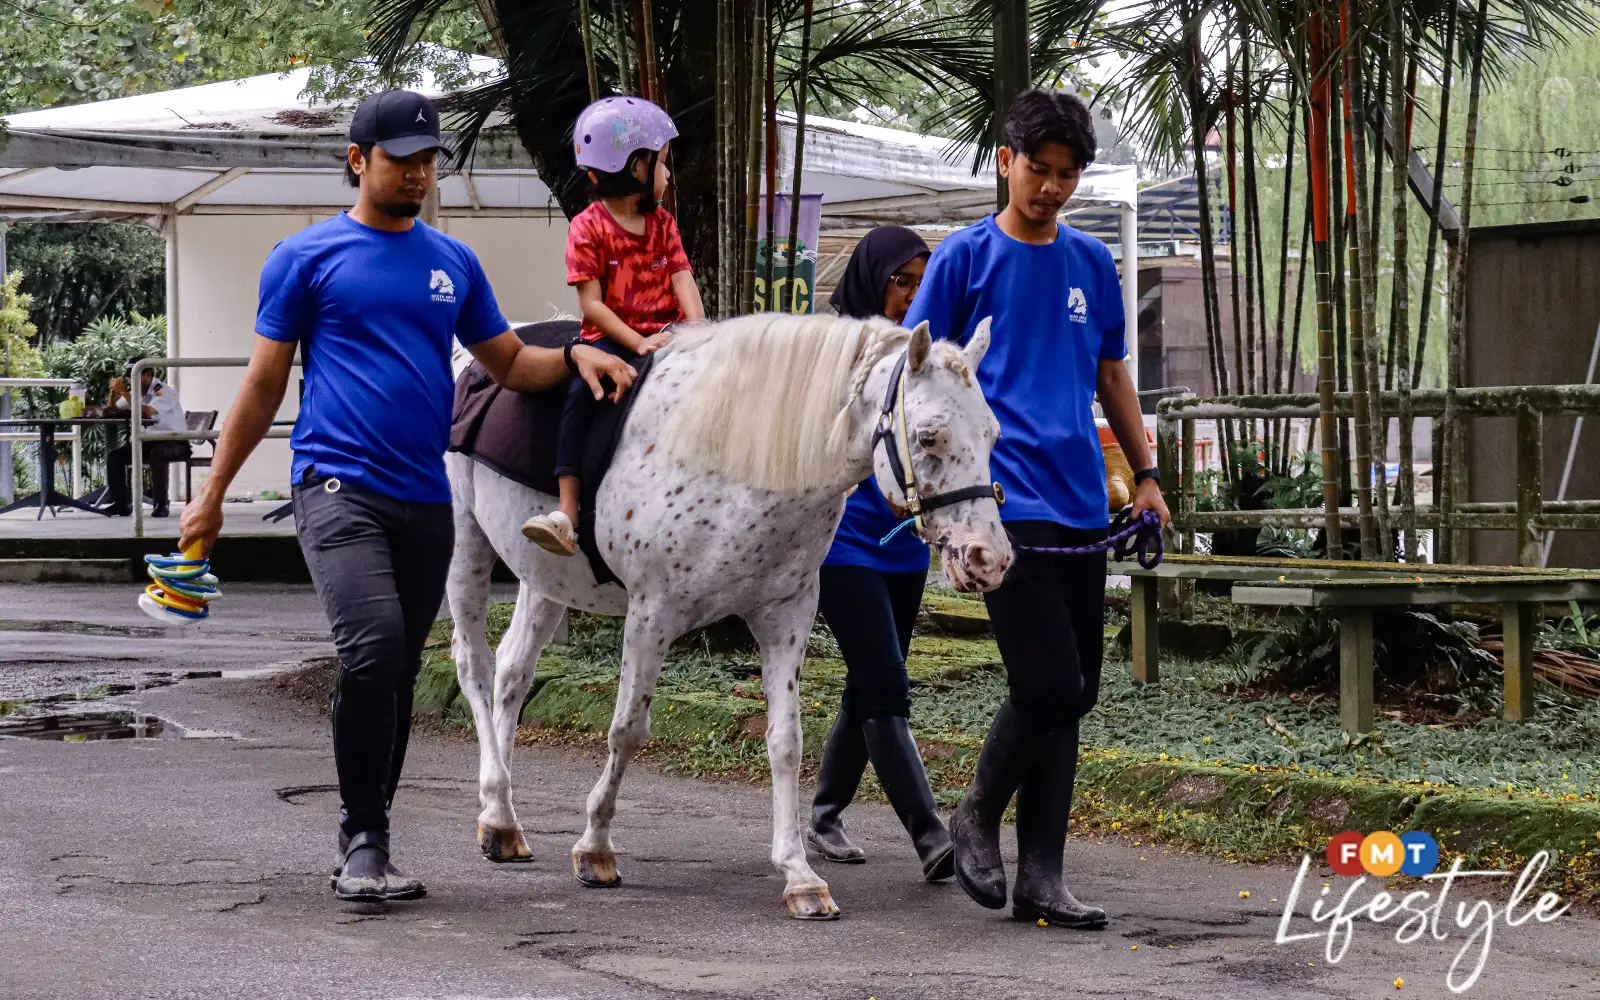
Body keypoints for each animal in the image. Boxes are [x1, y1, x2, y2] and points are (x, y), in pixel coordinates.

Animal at [444, 312, 1011, 919]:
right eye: (928, 436)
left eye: (993, 434)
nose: (990, 558)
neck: (735, 458)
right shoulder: (652, 615)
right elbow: (627, 730)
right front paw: (595, 848)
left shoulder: (786, 616)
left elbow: (786, 742)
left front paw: (799, 875)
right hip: (466, 542)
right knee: (475, 665)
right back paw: (499, 805)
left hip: (545, 578)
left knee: (512, 672)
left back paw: (499, 817)